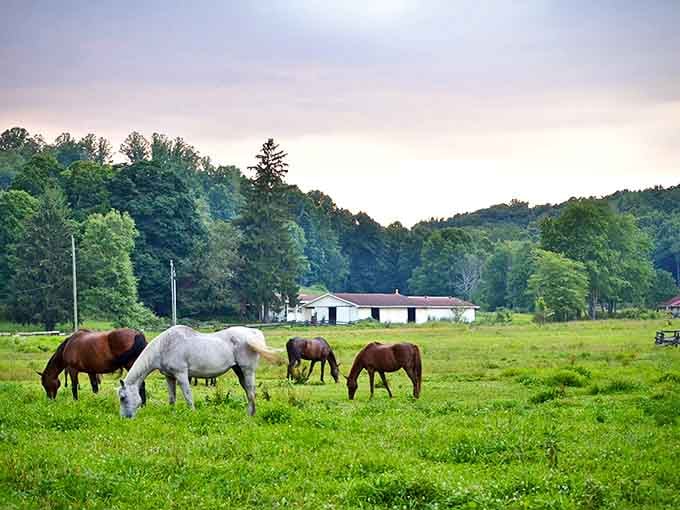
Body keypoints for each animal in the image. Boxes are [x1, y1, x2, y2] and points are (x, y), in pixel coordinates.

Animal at [118, 325, 280, 418]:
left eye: (123, 398)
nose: (125, 418)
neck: (164, 346)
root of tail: (253, 333)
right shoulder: (170, 377)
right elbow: (172, 398)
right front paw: (172, 414)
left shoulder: (181, 375)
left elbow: (188, 396)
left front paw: (192, 413)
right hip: (239, 371)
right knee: (248, 392)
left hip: (247, 370)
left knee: (251, 392)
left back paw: (250, 417)